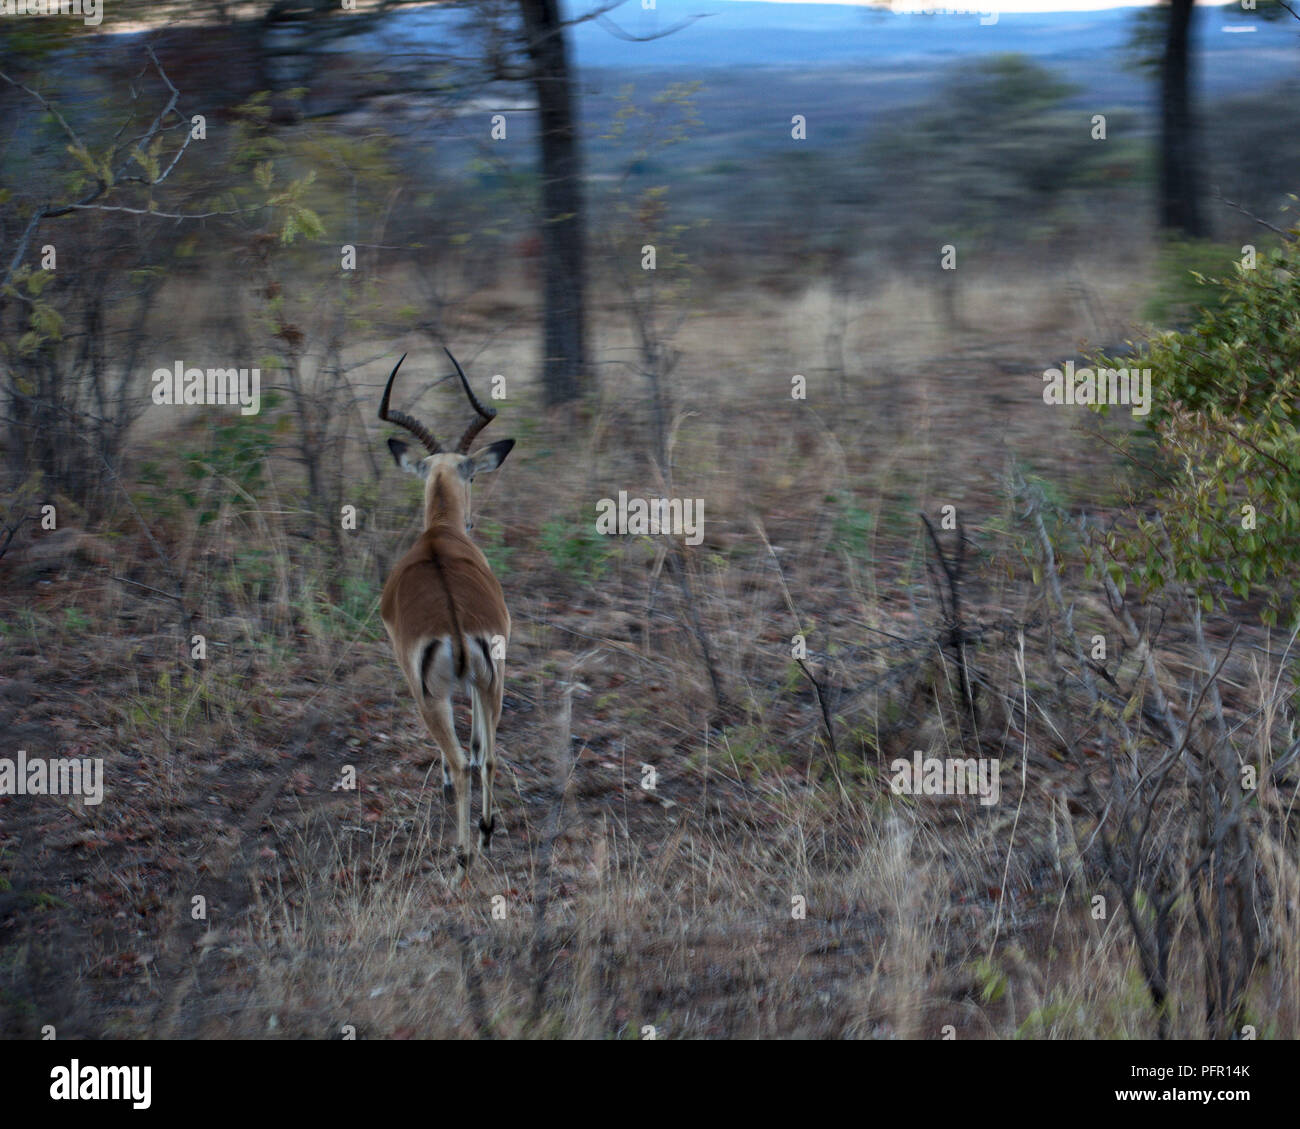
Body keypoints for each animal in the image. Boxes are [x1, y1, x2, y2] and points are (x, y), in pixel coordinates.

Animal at [378, 348, 514, 869]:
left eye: (470, 472)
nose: (472, 520)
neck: (440, 532)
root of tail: (455, 628)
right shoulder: (482, 680)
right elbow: (479, 747)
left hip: (430, 697)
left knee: (459, 762)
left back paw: (461, 854)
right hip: (493, 680)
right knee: (488, 756)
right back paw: (485, 831)